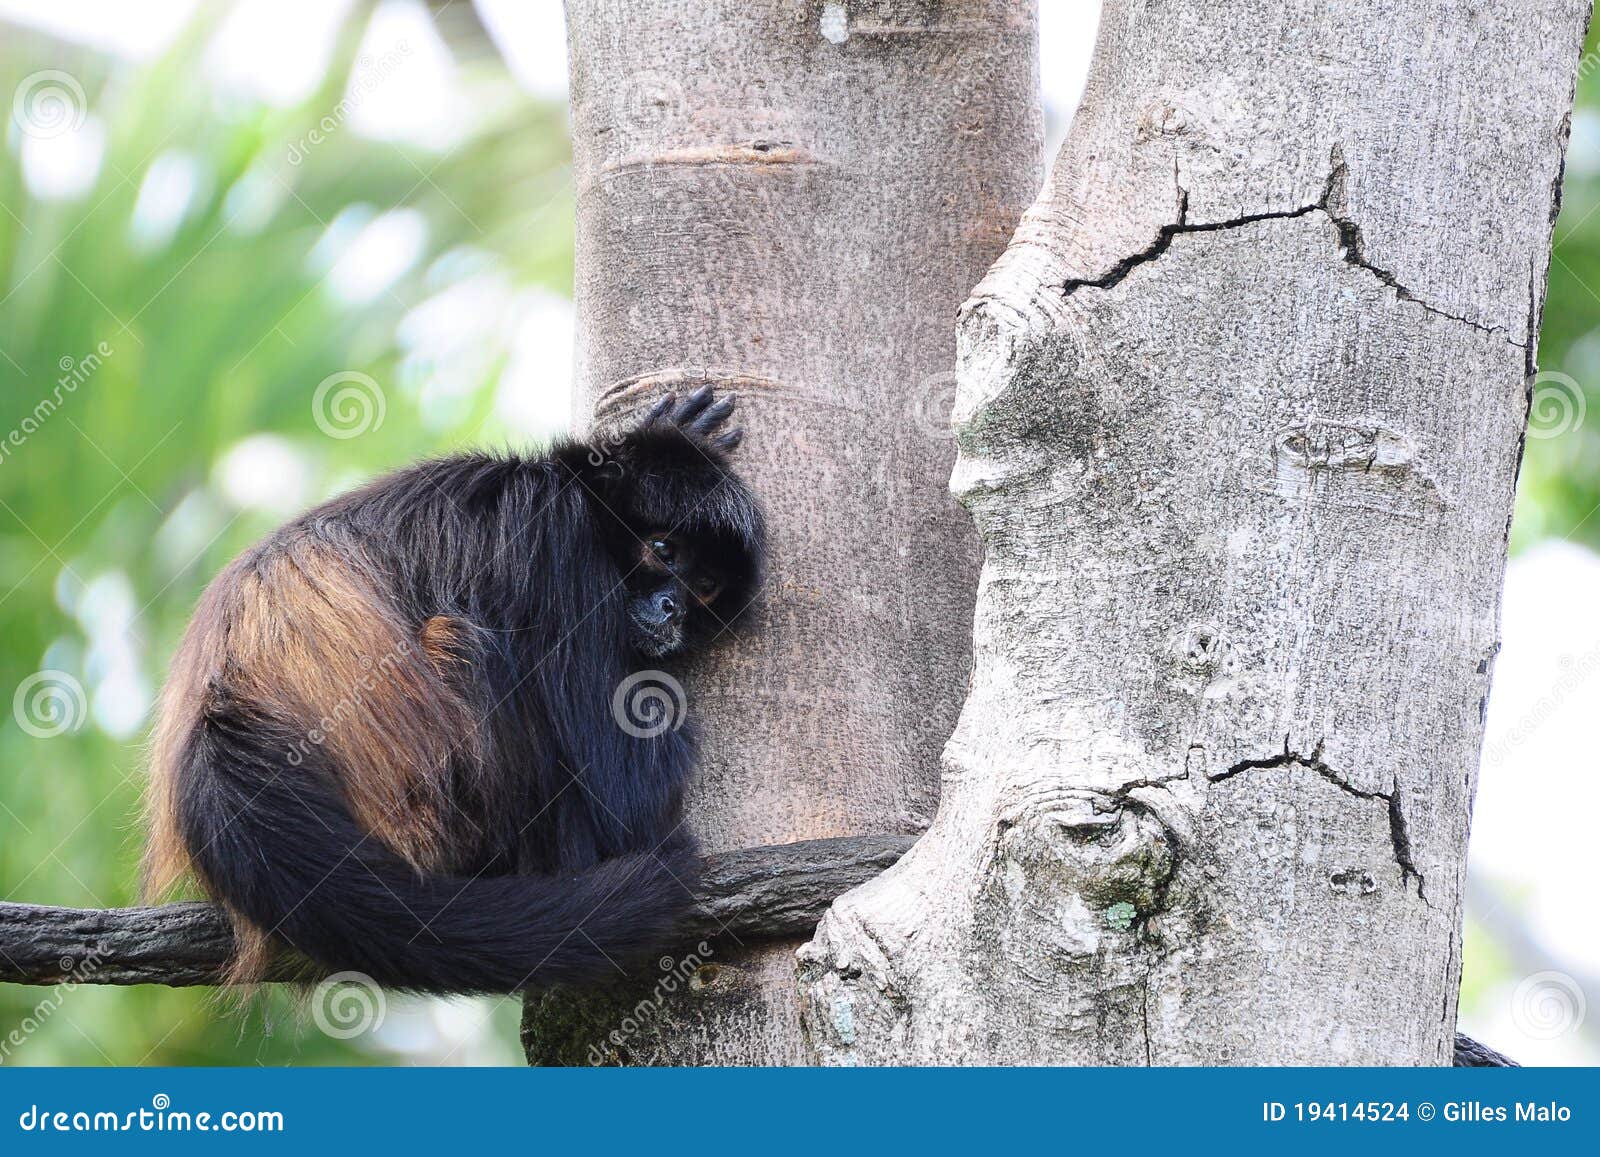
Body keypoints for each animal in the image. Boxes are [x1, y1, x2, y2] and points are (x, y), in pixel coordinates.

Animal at [141, 386, 764, 994]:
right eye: (662, 550)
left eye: (706, 587)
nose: (672, 605)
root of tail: (219, 721)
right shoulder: (553, 542)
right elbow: (627, 800)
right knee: (476, 645)